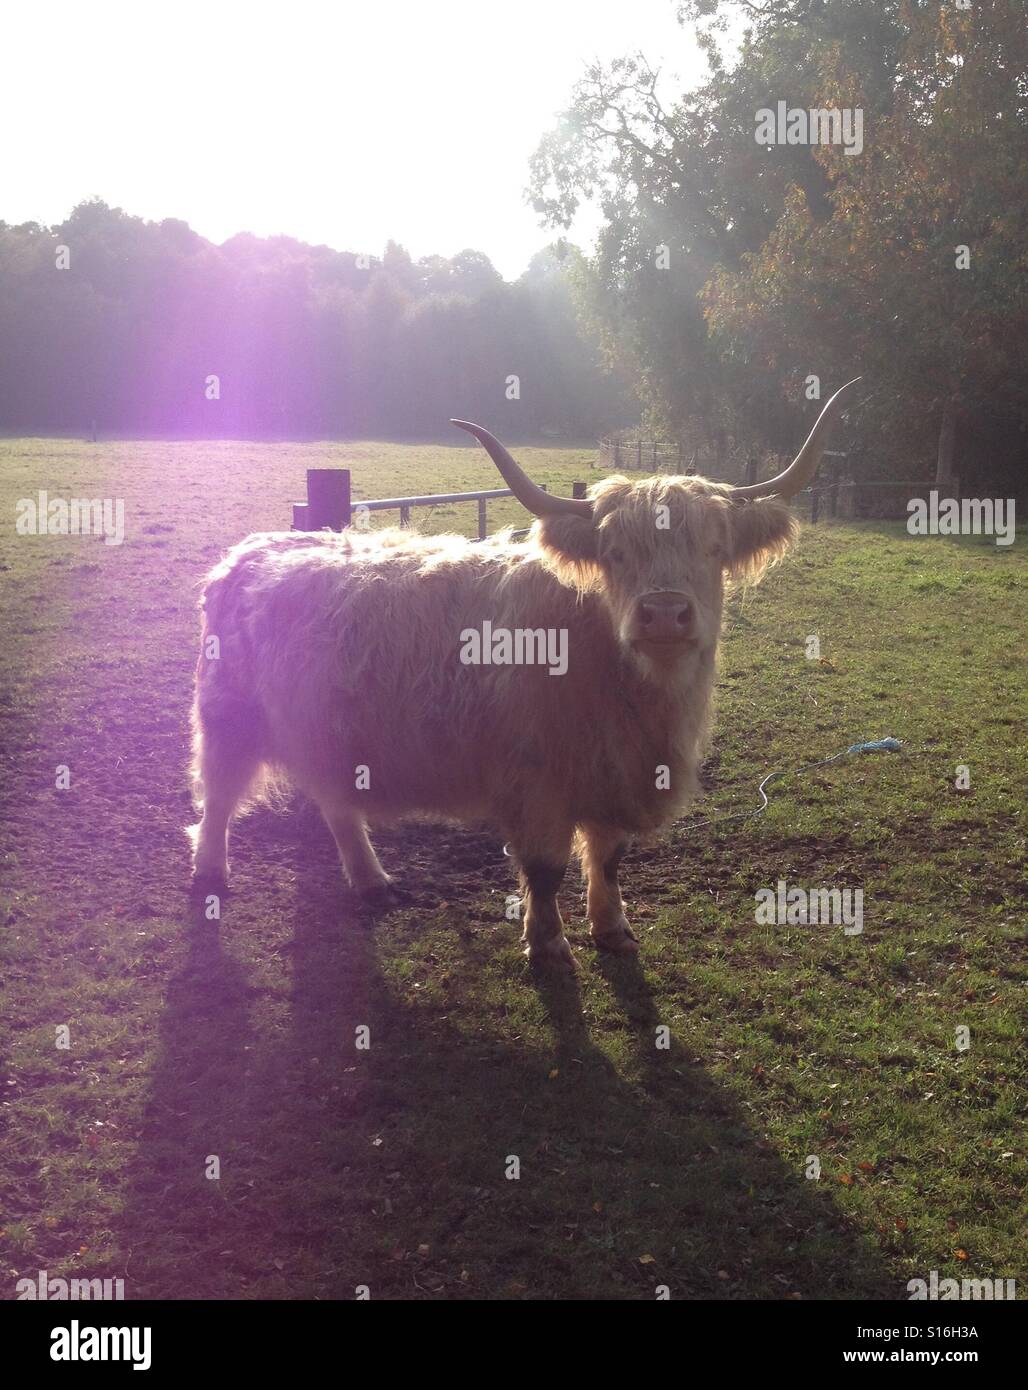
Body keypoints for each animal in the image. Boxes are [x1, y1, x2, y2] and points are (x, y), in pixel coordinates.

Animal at [189, 379, 859, 969]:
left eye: (714, 548)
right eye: (615, 553)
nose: (665, 613)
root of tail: (248, 551)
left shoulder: (611, 781)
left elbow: (608, 858)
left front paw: (614, 930)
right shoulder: (535, 782)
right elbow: (544, 869)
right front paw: (549, 946)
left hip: (327, 734)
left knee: (335, 803)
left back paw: (371, 879)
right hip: (227, 720)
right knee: (217, 797)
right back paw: (211, 874)